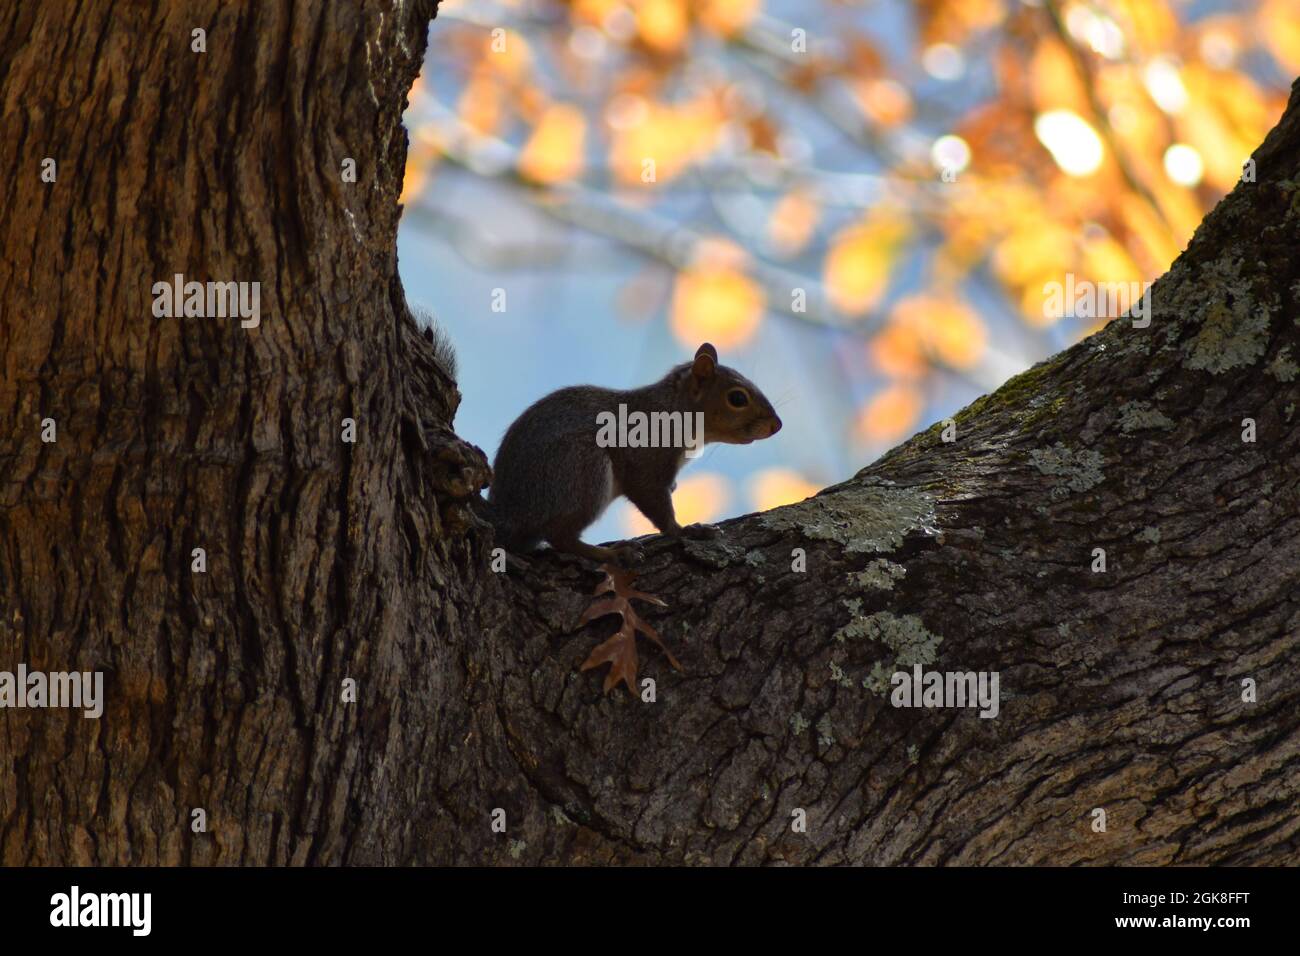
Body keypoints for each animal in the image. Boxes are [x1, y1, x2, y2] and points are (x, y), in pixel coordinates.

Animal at [484, 343, 782, 564]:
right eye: (738, 398)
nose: (776, 425)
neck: (673, 411)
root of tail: (506, 513)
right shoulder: (646, 461)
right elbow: (653, 500)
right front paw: (686, 530)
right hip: (582, 471)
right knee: (561, 537)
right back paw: (611, 553)